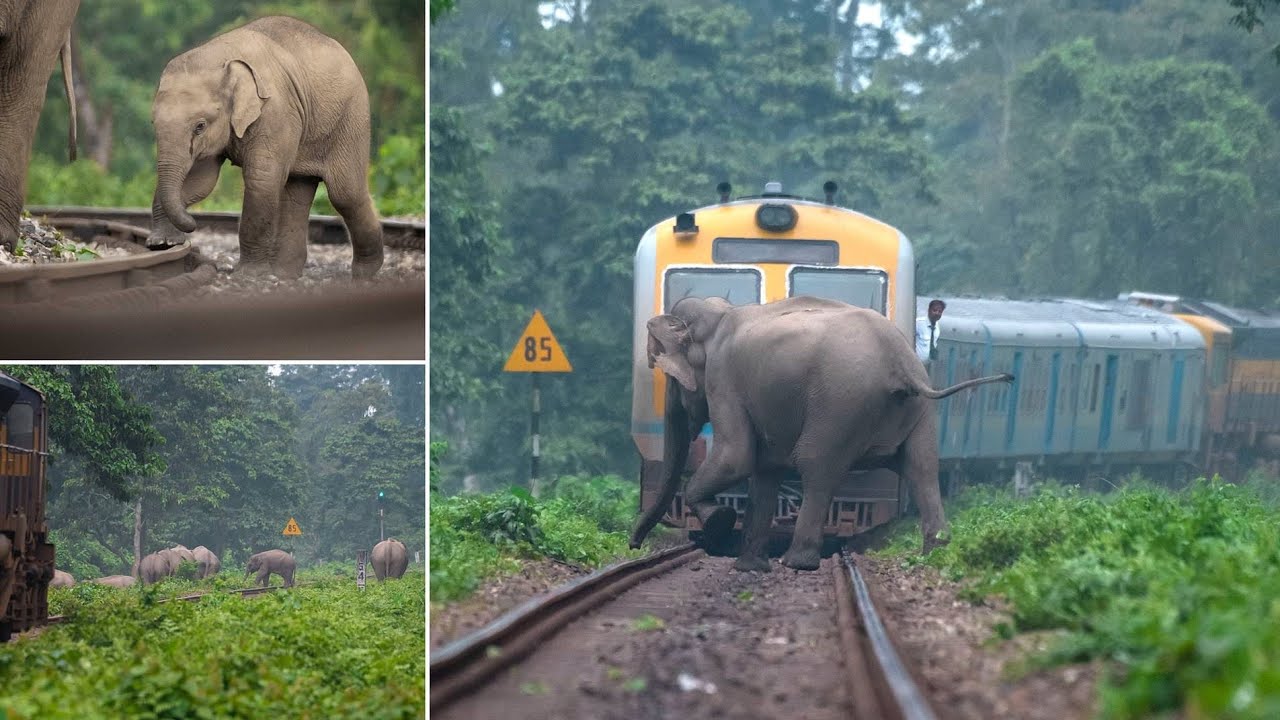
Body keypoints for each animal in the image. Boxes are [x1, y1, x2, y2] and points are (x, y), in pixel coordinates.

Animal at [147, 15, 384, 280]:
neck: (219, 57)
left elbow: (262, 179)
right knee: (297, 192)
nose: (194, 224)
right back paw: (284, 274)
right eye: (153, 123)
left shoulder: (275, 111)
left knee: (345, 193)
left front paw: (247, 274)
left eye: (200, 126)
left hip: (351, 118)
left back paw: (364, 274)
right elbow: (202, 180)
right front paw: (162, 244)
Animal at [629, 296, 1014, 571]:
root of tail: (899, 360)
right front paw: (749, 568)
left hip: (839, 402)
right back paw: (933, 556)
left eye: (673, 381)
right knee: (922, 468)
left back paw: (797, 562)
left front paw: (719, 521)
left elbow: (736, 457)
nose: (633, 545)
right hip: (916, 410)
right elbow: (765, 471)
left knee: (817, 467)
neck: (721, 313)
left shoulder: (724, 380)